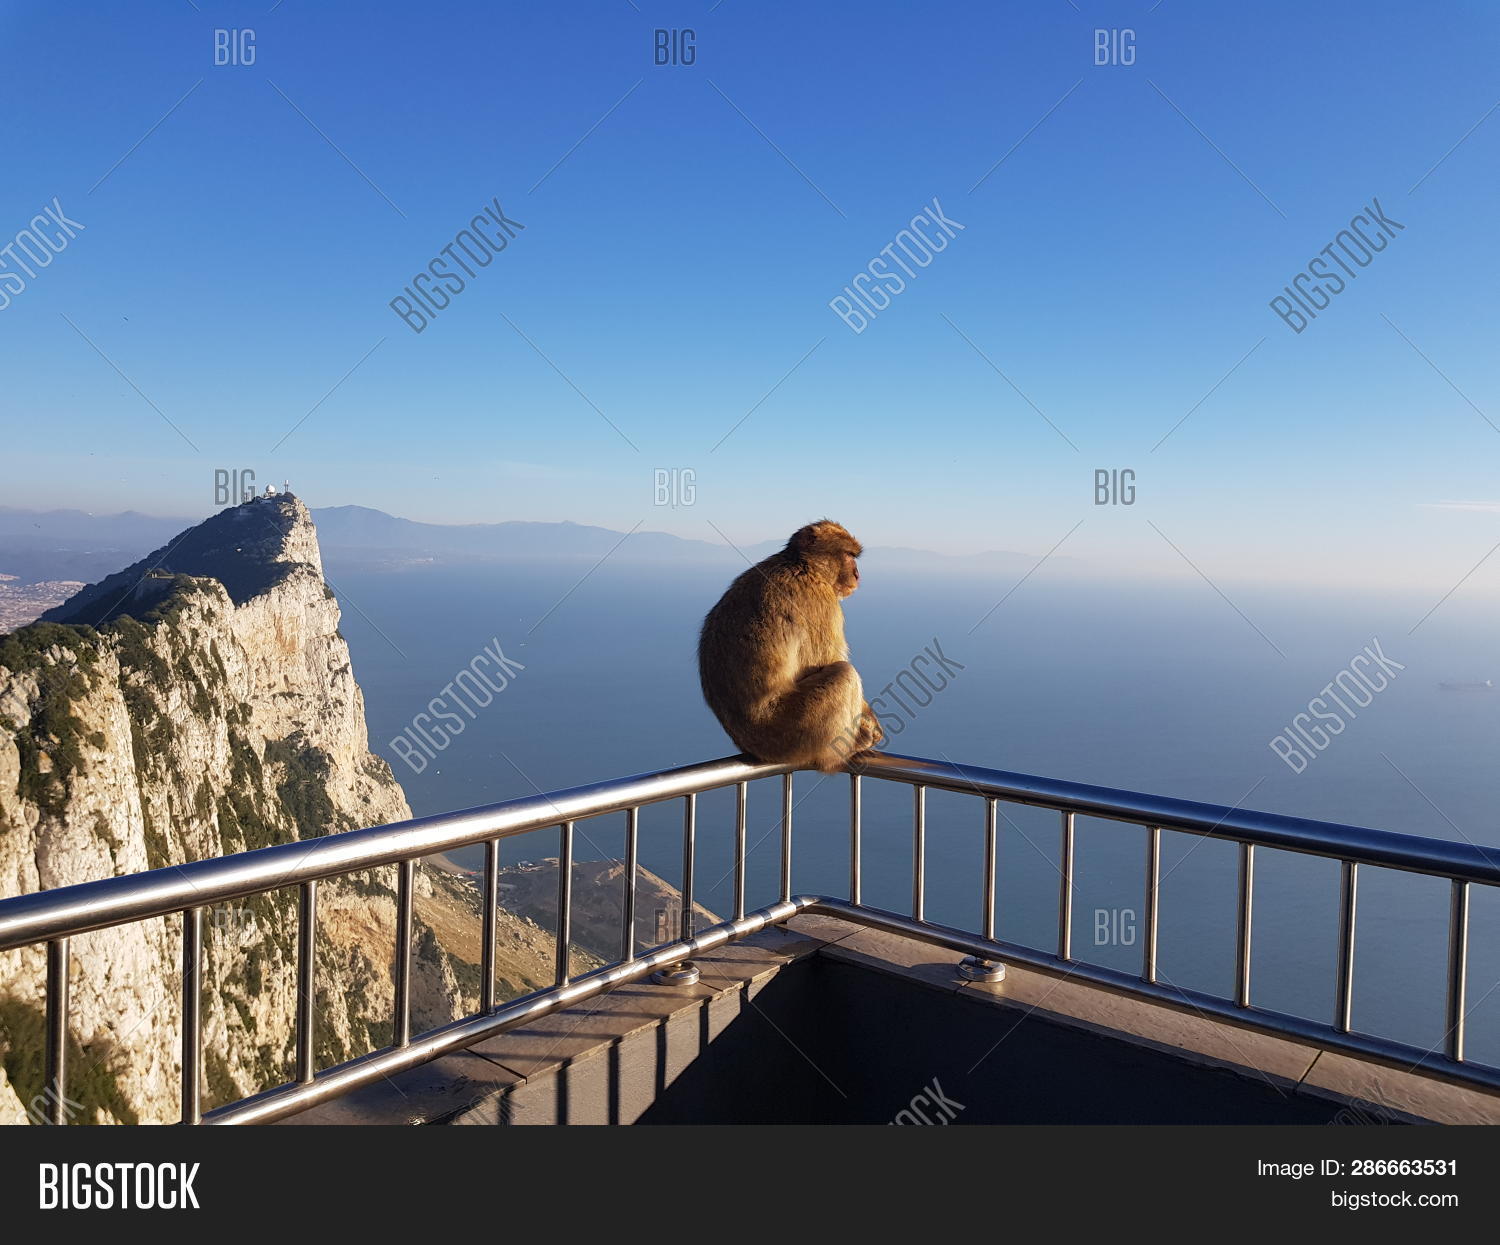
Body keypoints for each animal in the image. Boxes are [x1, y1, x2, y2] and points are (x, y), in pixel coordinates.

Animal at [698, 520, 883, 773]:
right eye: (848, 555)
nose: (857, 574)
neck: (803, 566)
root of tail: (752, 746)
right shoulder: (821, 601)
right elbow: (827, 660)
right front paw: (870, 725)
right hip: (793, 732)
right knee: (843, 673)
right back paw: (842, 751)